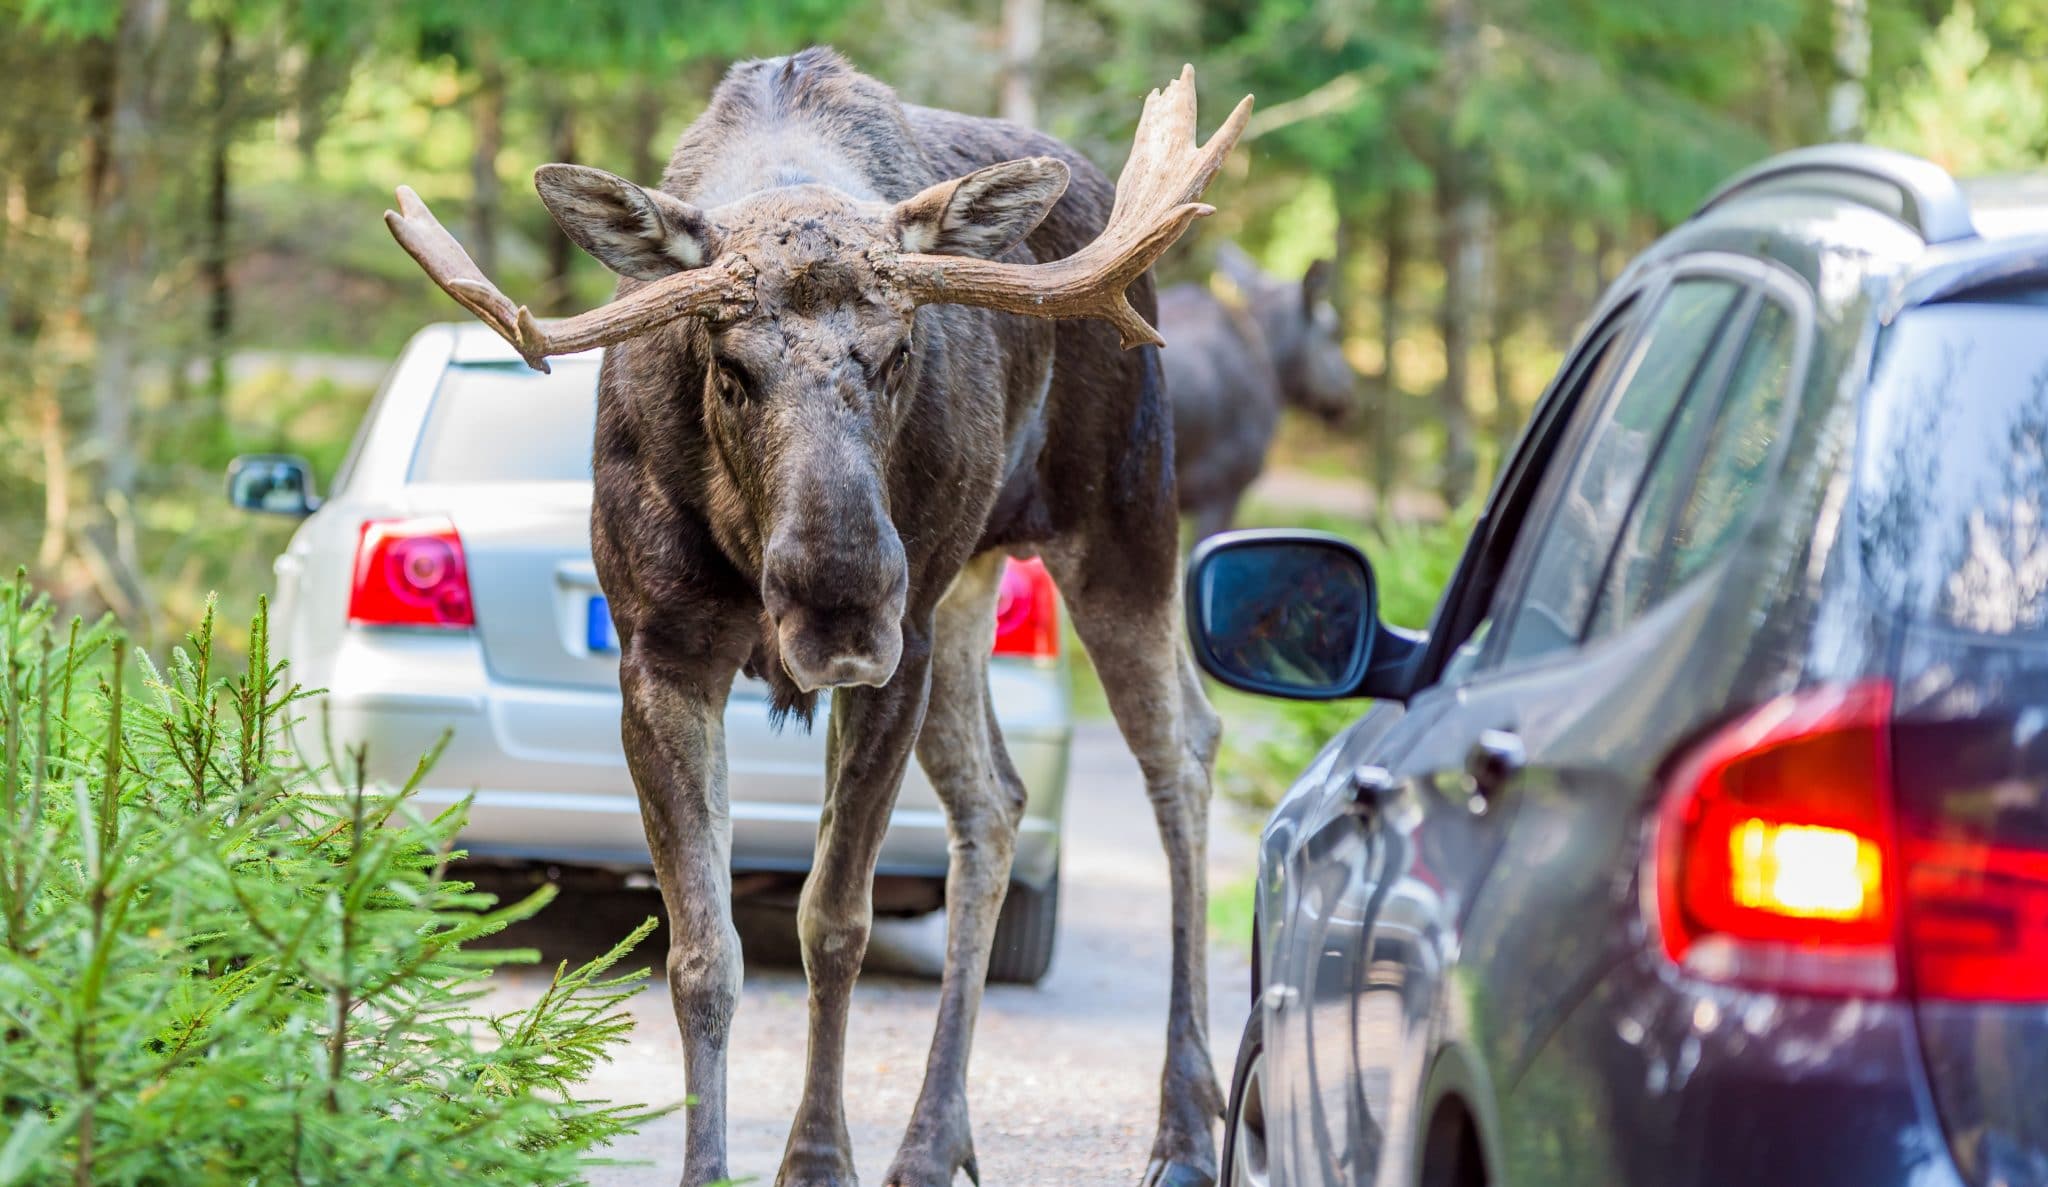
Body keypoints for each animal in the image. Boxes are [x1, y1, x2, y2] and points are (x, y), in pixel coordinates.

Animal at [383, 48, 1249, 1187]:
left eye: (896, 352)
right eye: (731, 366)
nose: (838, 593)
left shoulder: (893, 651)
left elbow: (833, 921)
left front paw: (817, 1158)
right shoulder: (660, 656)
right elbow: (701, 953)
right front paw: (707, 1166)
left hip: (1117, 522)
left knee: (1182, 750)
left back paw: (1184, 1128)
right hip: (963, 585)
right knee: (997, 799)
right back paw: (930, 1140)